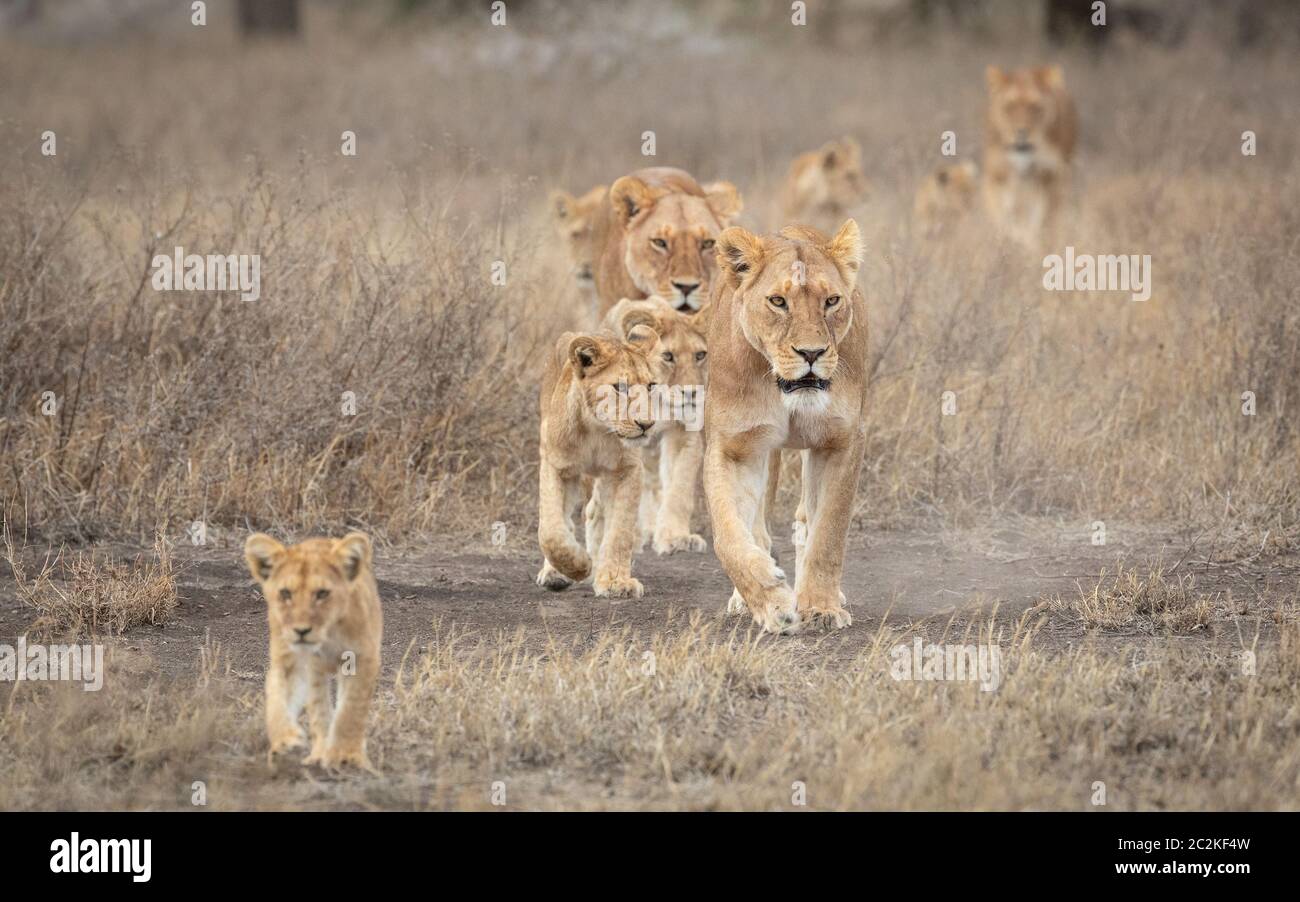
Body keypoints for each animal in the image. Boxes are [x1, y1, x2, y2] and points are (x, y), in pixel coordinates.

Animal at [243, 532, 382, 771]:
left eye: (322, 593)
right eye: (286, 593)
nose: (301, 631)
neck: (327, 634)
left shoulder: (363, 658)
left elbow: (351, 710)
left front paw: (346, 755)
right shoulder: (290, 661)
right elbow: (277, 698)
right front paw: (285, 741)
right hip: (315, 673)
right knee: (319, 709)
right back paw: (319, 753)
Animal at [536, 322, 670, 598]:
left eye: (651, 386)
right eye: (620, 387)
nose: (647, 424)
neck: (597, 431)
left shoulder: (627, 470)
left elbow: (620, 531)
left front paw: (615, 581)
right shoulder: (555, 464)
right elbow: (551, 530)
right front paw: (578, 566)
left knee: (595, 511)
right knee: (565, 518)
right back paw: (556, 573)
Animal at [593, 296, 709, 556]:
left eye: (700, 355)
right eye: (667, 356)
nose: (691, 393)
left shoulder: (683, 433)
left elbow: (678, 487)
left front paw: (676, 537)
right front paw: (631, 536)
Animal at [703, 220, 867, 635]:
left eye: (832, 301)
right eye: (778, 301)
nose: (811, 353)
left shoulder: (841, 441)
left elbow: (829, 532)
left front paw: (821, 607)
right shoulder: (734, 447)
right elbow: (729, 536)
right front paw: (772, 601)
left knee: (806, 519)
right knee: (756, 526)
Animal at [982, 65, 1078, 246]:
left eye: (1035, 107)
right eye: (1010, 106)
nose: (1021, 132)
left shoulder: (1049, 177)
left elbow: (1039, 220)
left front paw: (1031, 243)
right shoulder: (995, 177)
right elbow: (1002, 217)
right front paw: (1009, 239)